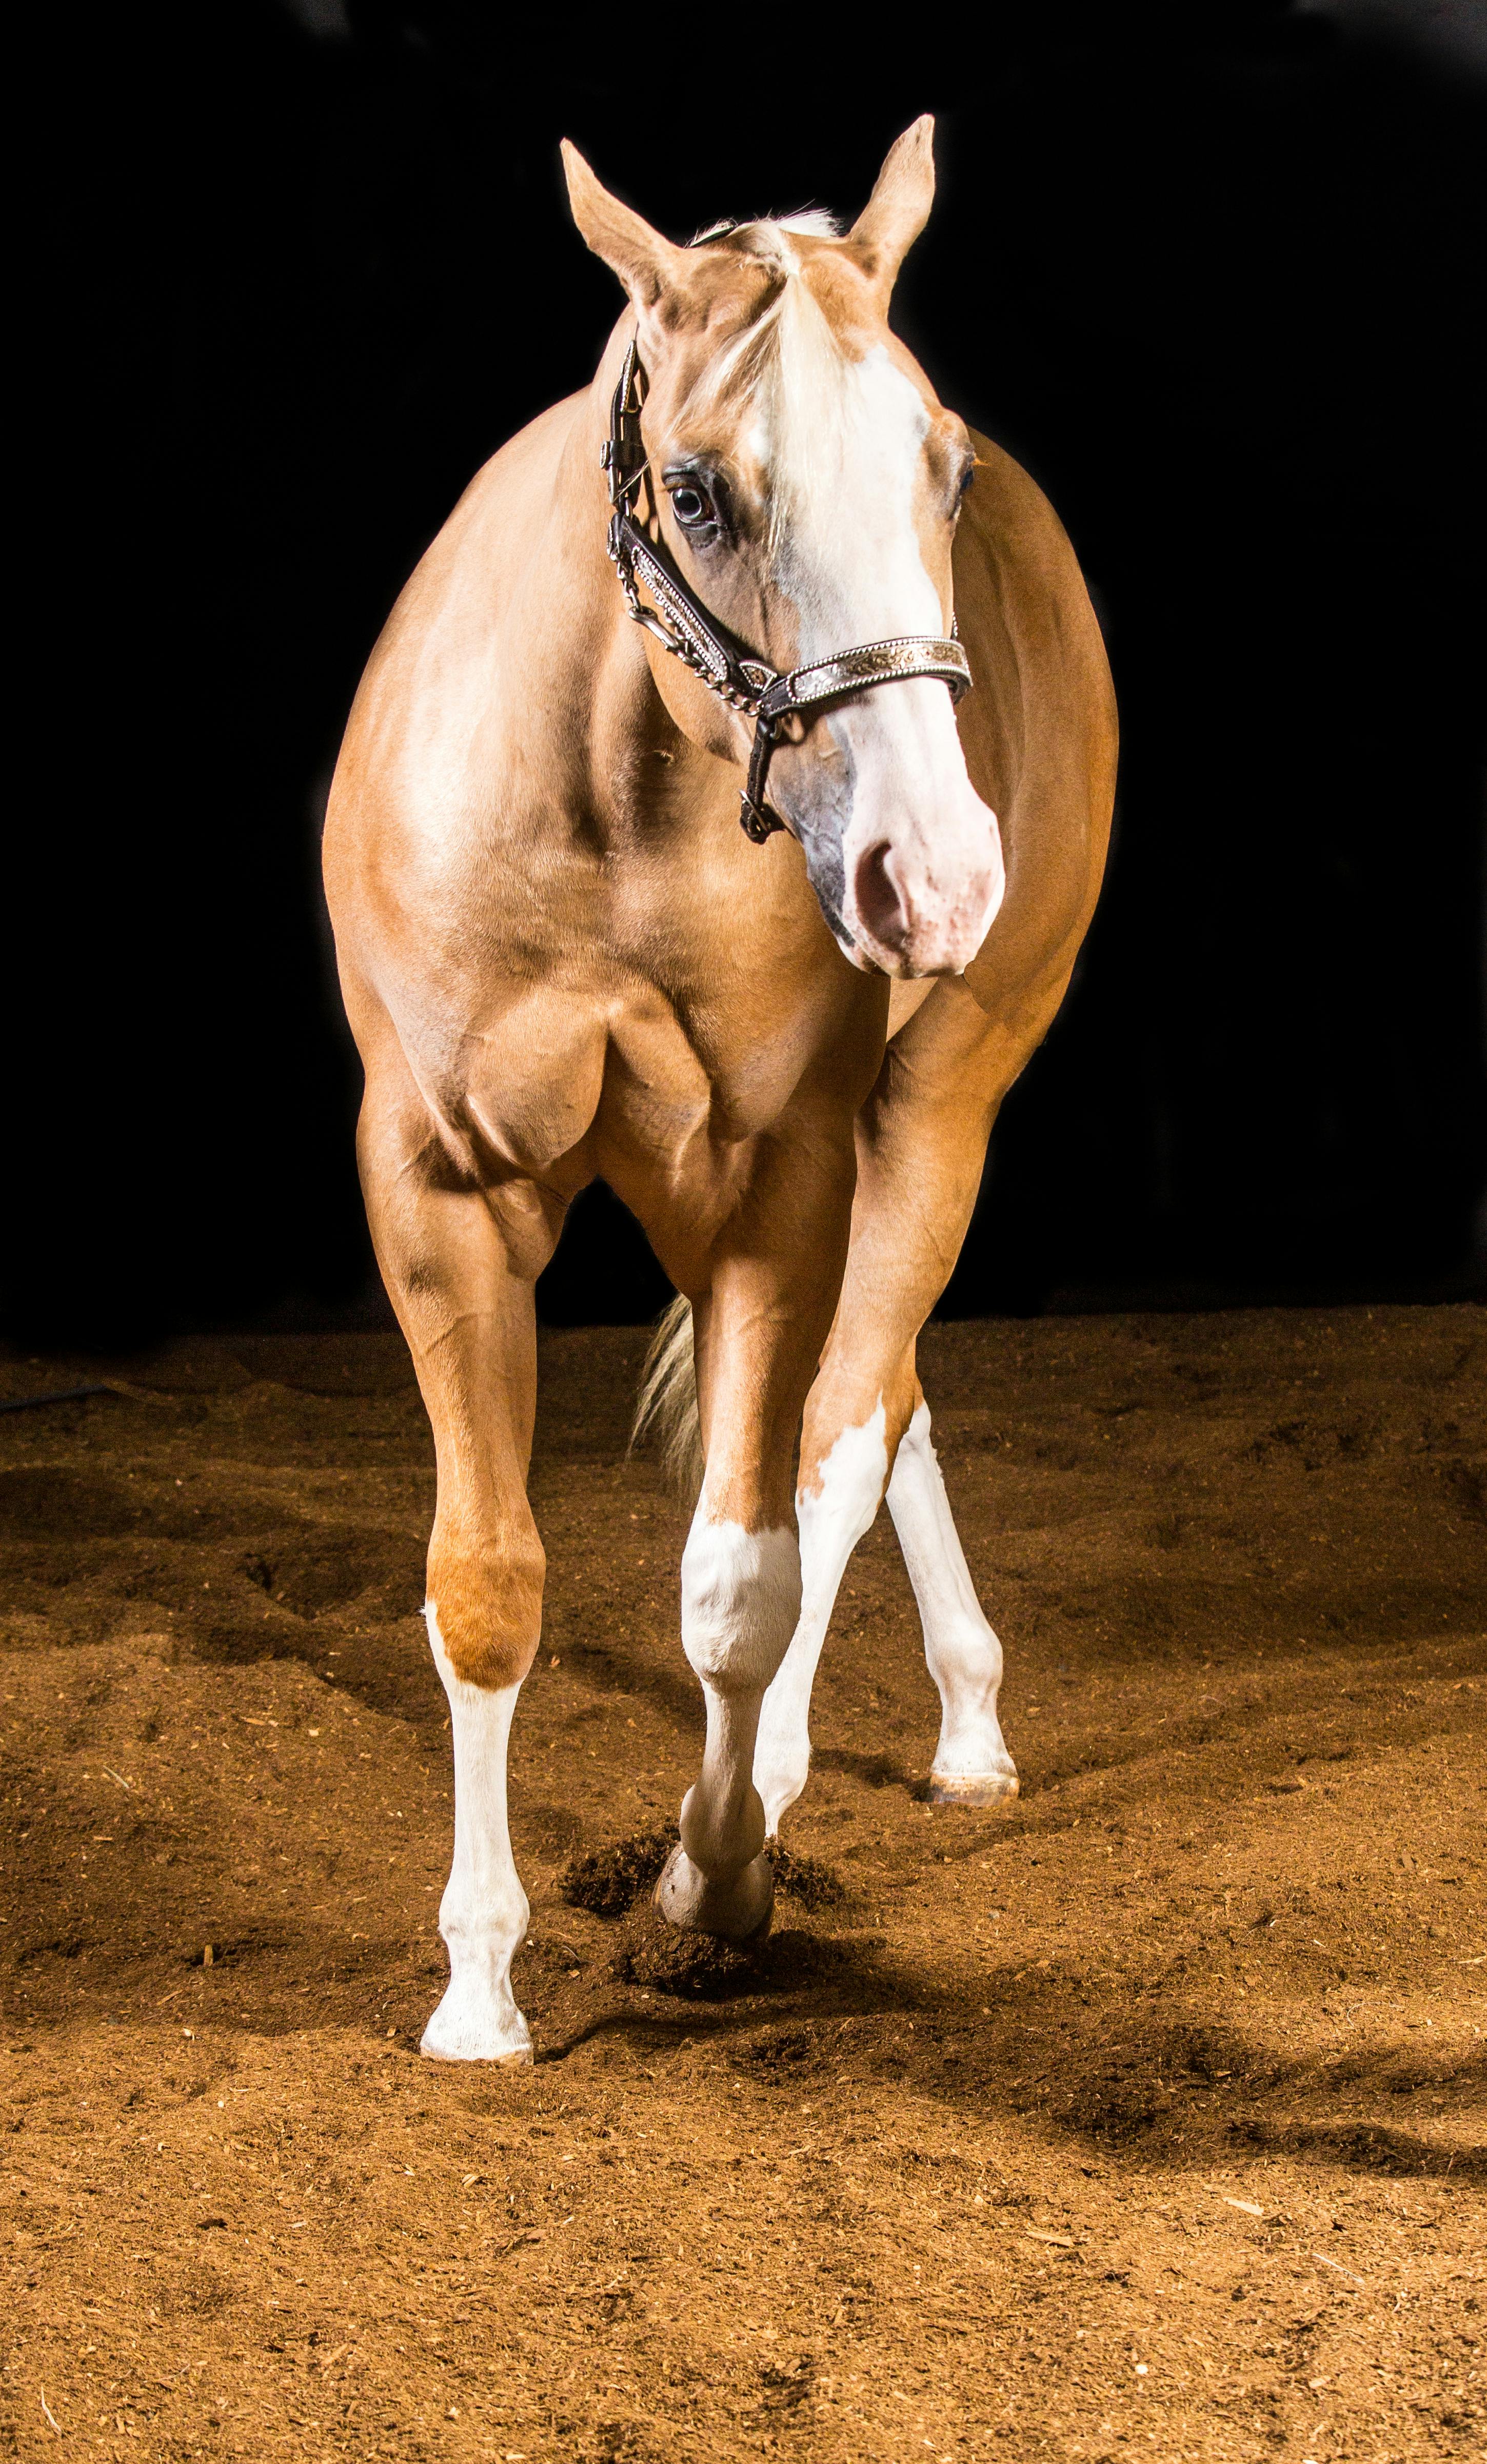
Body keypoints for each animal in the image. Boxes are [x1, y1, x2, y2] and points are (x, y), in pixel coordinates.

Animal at [323, 118, 1116, 2063]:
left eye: (942, 468)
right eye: (695, 493)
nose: (939, 871)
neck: (614, 801)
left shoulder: (781, 1175)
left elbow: (738, 1575)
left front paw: (713, 1874)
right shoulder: (438, 1184)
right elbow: (486, 1582)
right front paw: (477, 1984)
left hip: (934, 1113)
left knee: (846, 1425)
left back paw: (836, 1762)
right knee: (880, 1403)